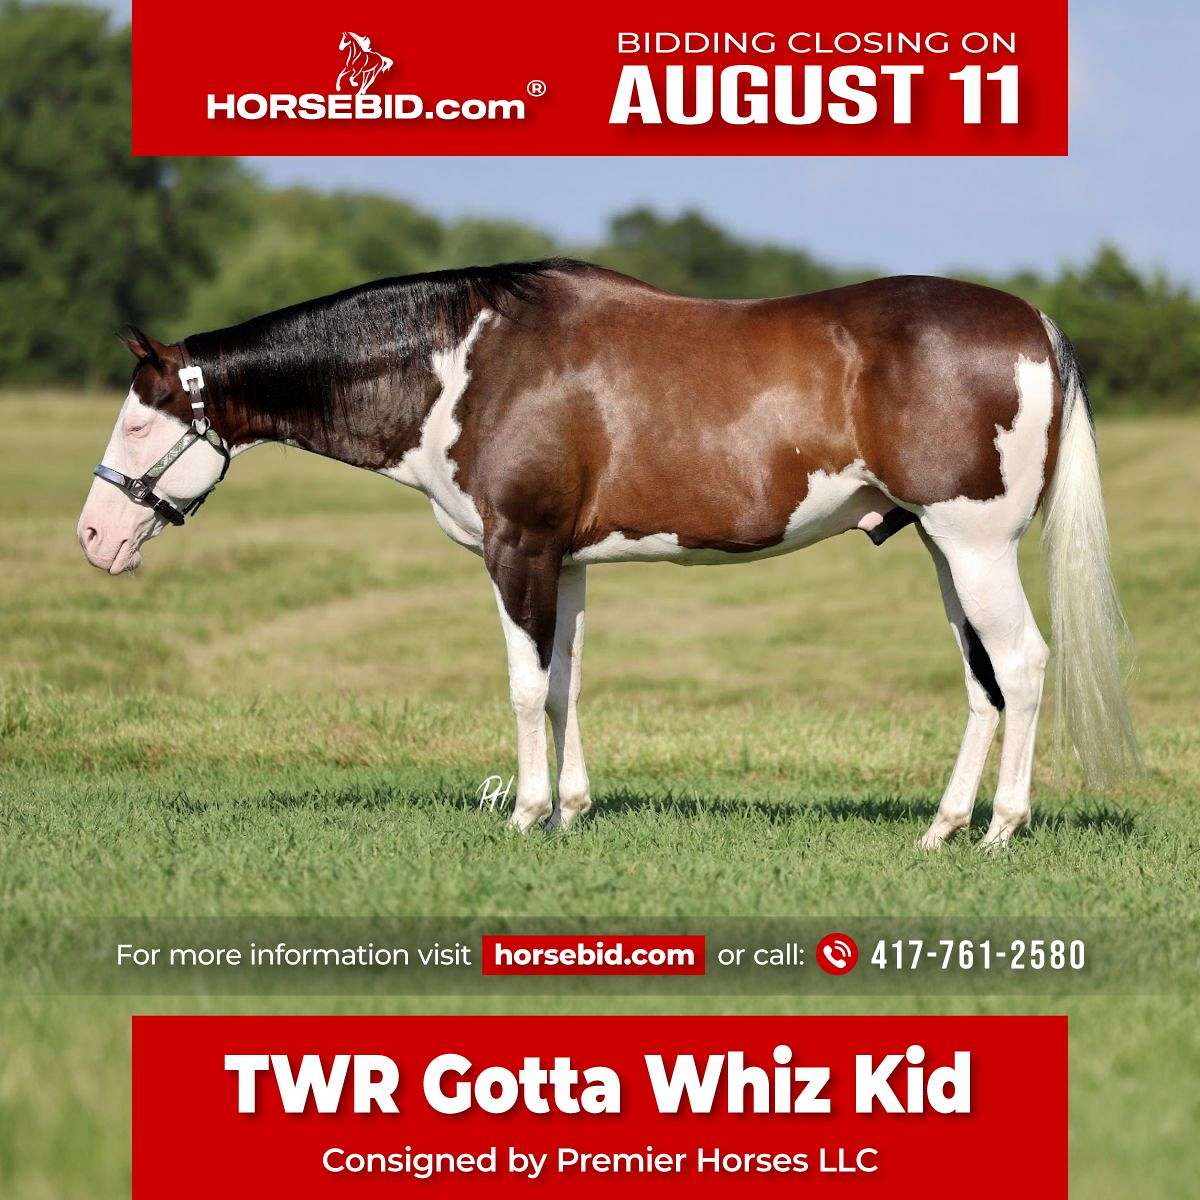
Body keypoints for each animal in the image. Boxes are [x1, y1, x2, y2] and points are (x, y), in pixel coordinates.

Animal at [77, 260, 1138, 848]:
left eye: (141, 420)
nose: (92, 535)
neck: (463, 363)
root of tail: (1032, 322)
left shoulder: (517, 549)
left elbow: (520, 687)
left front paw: (523, 816)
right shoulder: (569, 560)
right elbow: (562, 685)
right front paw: (571, 810)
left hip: (976, 545)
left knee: (1024, 667)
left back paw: (1002, 830)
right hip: (944, 551)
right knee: (983, 685)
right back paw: (944, 828)